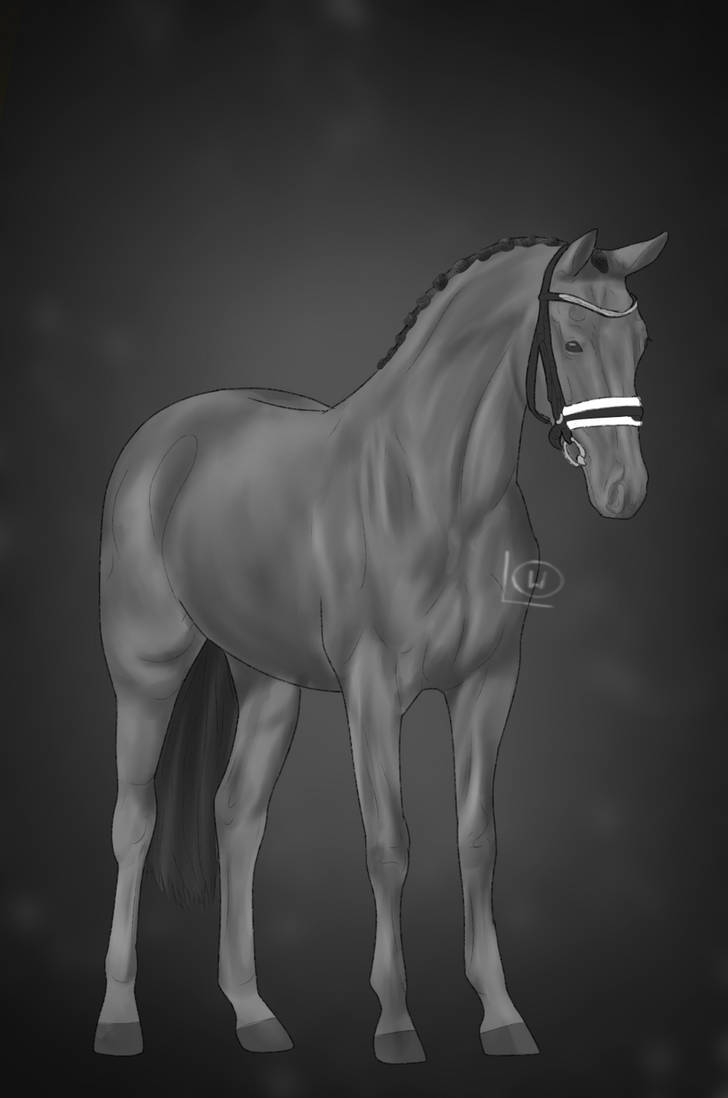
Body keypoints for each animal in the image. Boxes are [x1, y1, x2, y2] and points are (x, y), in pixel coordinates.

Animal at [93, 228, 667, 1063]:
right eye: (571, 340)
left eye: (641, 340)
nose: (624, 490)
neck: (434, 492)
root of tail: (167, 435)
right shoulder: (371, 691)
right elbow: (388, 845)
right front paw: (396, 1025)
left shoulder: (489, 683)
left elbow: (477, 841)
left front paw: (502, 1016)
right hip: (147, 669)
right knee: (134, 821)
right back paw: (118, 1017)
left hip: (267, 681)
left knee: (237, 813)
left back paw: (253, 1013)